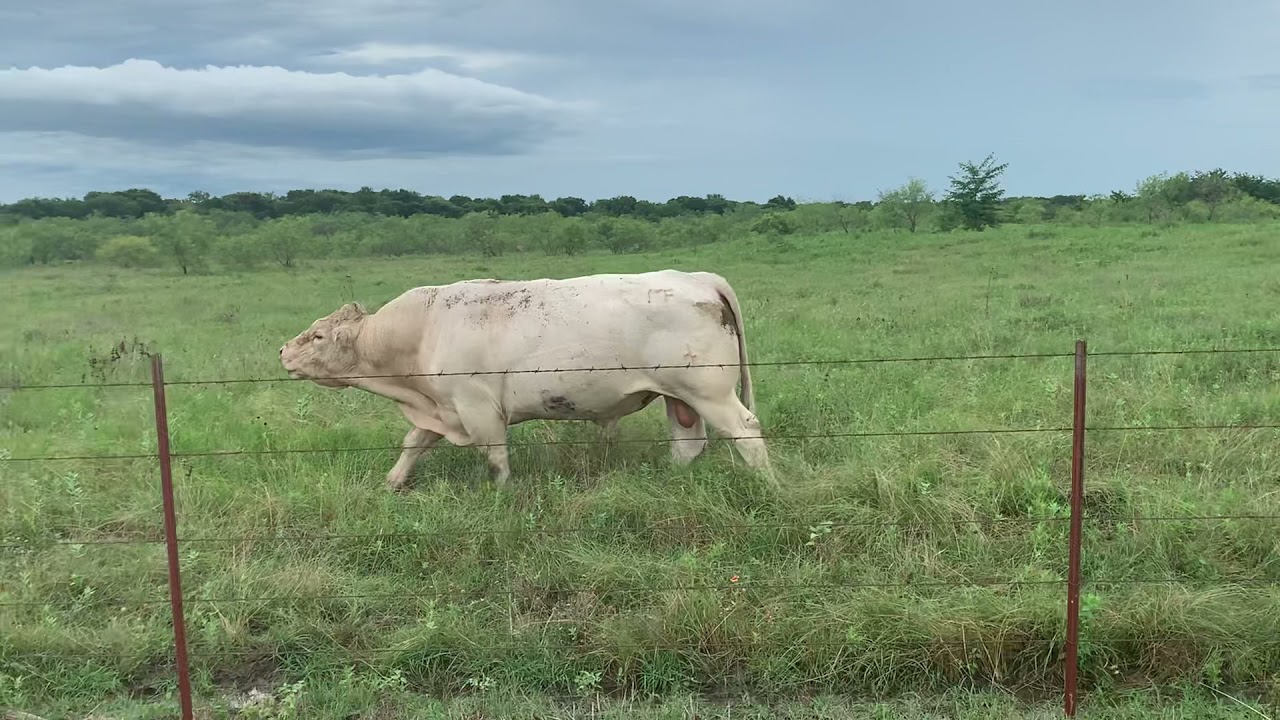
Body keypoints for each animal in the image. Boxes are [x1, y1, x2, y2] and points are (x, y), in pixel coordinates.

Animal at [279, 269, 774, 491]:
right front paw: (392, 482)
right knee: (688, 444)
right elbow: (413, 443)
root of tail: (695, 276)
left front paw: (501, 494)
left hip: (709, 391)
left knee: (746, 432)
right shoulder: (443, 407)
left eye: (317, 335)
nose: (283, 351)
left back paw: (769, 485)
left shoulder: (476, 407)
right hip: (679, 396)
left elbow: (496, 458)